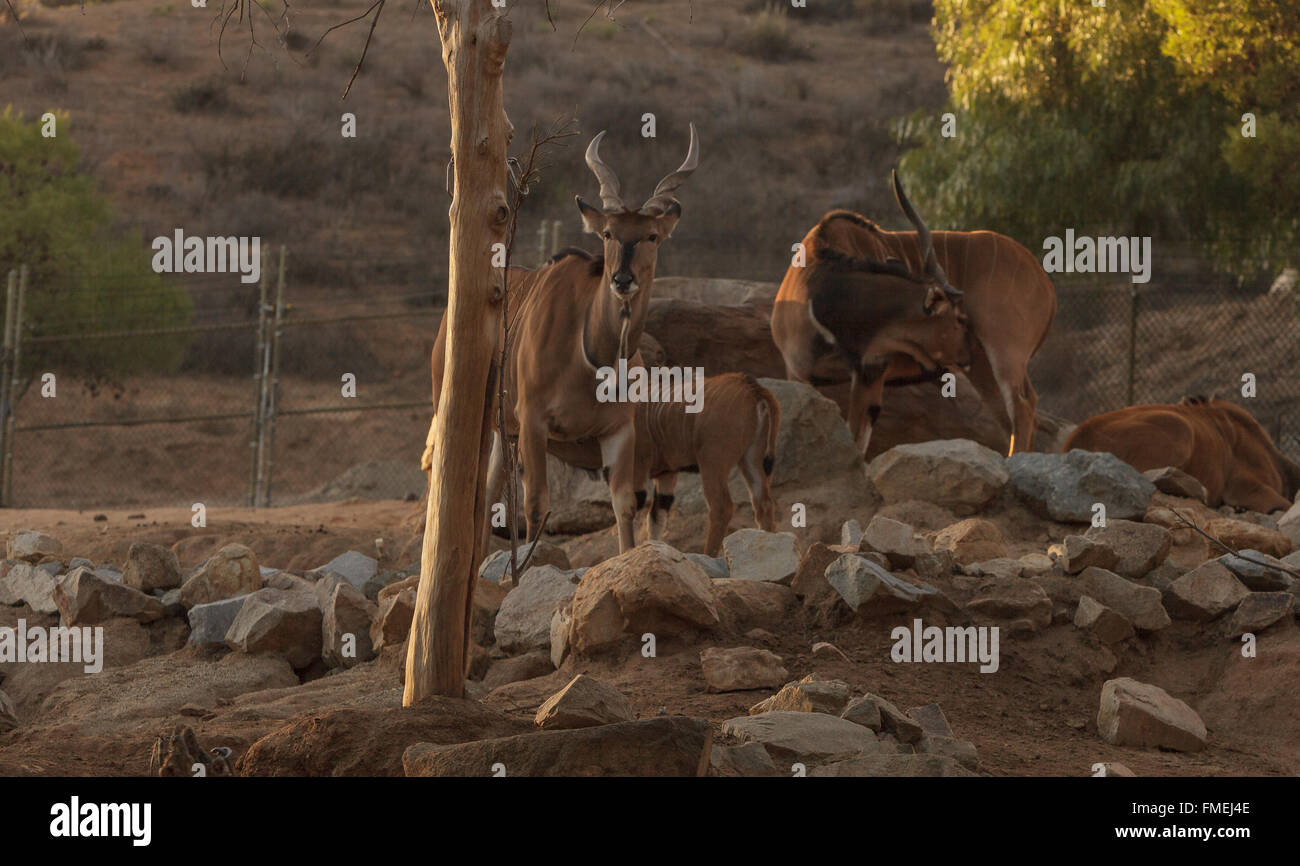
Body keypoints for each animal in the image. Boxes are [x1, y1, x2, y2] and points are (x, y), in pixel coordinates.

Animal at [421, 125, 701, 554]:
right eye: (608, 233)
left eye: (652, 235)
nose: (622, 279)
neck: (591, 356)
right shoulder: (535, 422)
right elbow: (536, 505)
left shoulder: (619, 430)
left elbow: (625, 505)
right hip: (463, 413)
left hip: (503, 431)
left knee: (487, 494)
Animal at [634, 372, 781, 556]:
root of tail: (753, 389)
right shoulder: (666, 474)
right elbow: (655, 519)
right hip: (750, 460)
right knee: (763, 503)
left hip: (712, 463)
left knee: (722, 507)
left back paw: (708, 555)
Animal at [772, 173, 1057, 456]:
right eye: (959, 318)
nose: (966, 352)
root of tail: (1045, 283)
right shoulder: (800, 374)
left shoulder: (870, 372)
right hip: (985, 370)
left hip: (1003, 354)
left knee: (1023, 407)